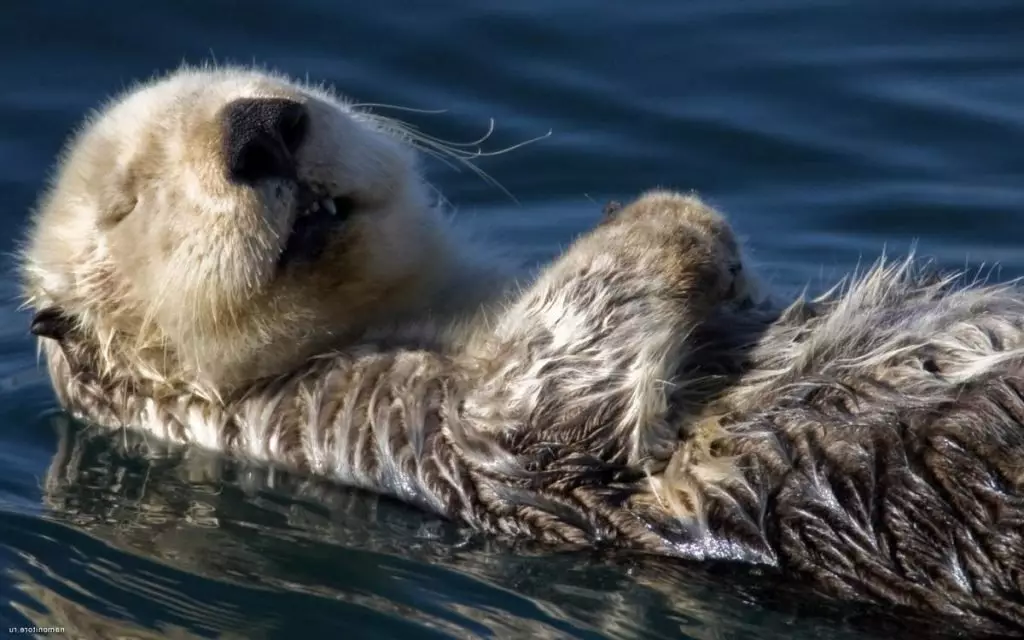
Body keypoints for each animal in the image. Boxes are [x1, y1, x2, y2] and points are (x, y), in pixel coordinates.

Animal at [19, 66, 1024, 634]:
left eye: (263, 90)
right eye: (128, 201)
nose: (259, 126)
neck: (431, 310)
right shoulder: (365, 420)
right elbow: (540, 408)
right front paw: (672, 217)